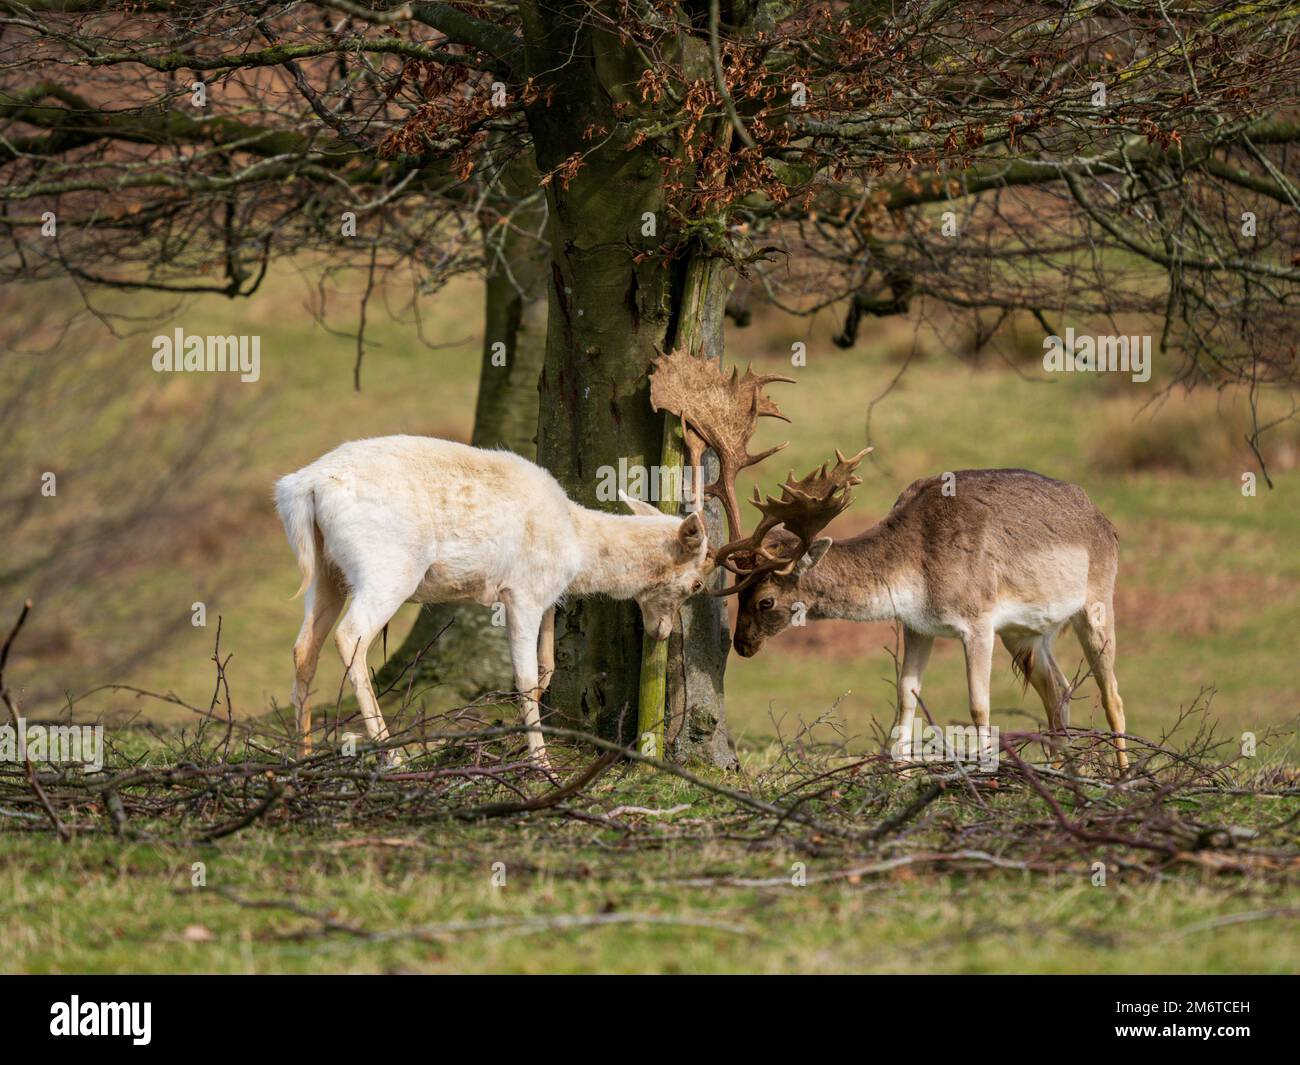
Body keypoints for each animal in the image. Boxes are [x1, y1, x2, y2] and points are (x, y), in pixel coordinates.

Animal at [274, 435, 712, 770]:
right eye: (696, 584)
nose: (663, 631)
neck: (576, 545)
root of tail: (303, 485)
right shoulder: (523, 593)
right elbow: (525, 677)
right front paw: (541, 762)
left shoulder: (544, 597)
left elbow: (546, 665)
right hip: (387, 568)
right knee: (350, 637)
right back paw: (393, 756)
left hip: (326, 573)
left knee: (303, 648)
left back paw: (301, 756)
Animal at [646, 350, 1128, 772]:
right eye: (739, 594)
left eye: (764, 599)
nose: (743, 645)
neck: (920, 568)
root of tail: (1106, 522)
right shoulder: (918, 625)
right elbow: (905, 696)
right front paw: (897, 771)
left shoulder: (978, 620)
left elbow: (978, 705)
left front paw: (985, 770)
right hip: (1024, 631)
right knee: (1060, 690)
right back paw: (1065, 769)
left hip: (1097, 600)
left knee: (1112, 693)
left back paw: (1123, 775)